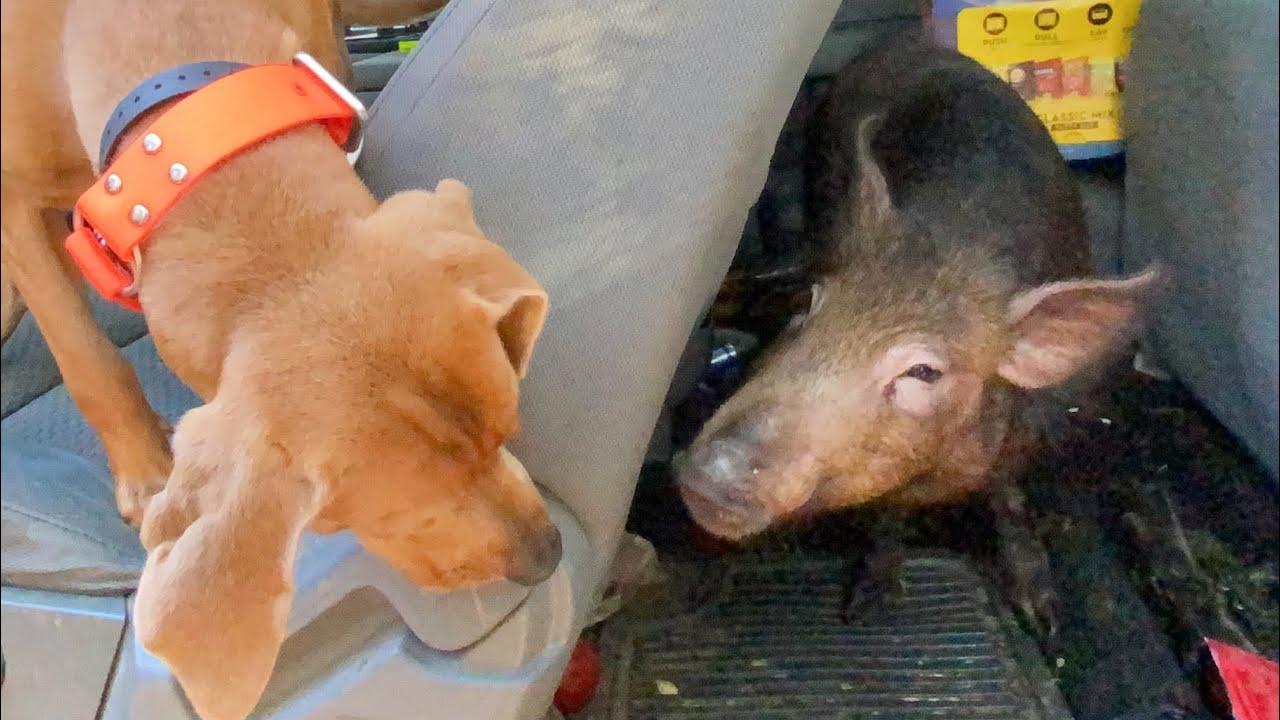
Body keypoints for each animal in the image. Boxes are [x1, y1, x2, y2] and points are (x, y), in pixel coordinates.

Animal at [675, 31, 1158, 640]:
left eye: (924, 371)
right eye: (809, 305)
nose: (709, 471)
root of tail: (899, 42)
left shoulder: (1025, 430)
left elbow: (1010, 496)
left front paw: (1043, 617)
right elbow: (887, 514)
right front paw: (868, 609)